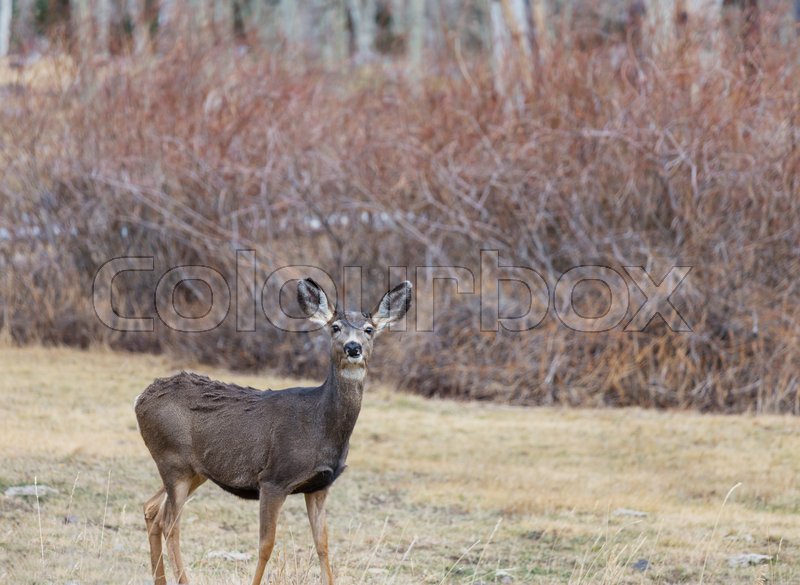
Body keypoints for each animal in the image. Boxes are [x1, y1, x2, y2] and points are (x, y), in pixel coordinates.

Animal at [134, 278, 413, 585]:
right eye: (335, 327)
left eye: (369, 329)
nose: (353, 348)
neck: (320, 426)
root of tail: (140, 398)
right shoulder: (274, 479)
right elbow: (266, 545)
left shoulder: (320, 486)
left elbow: (323, 544)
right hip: (173, 461)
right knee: (170, 523)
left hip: (194, 469)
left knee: (152, 509)